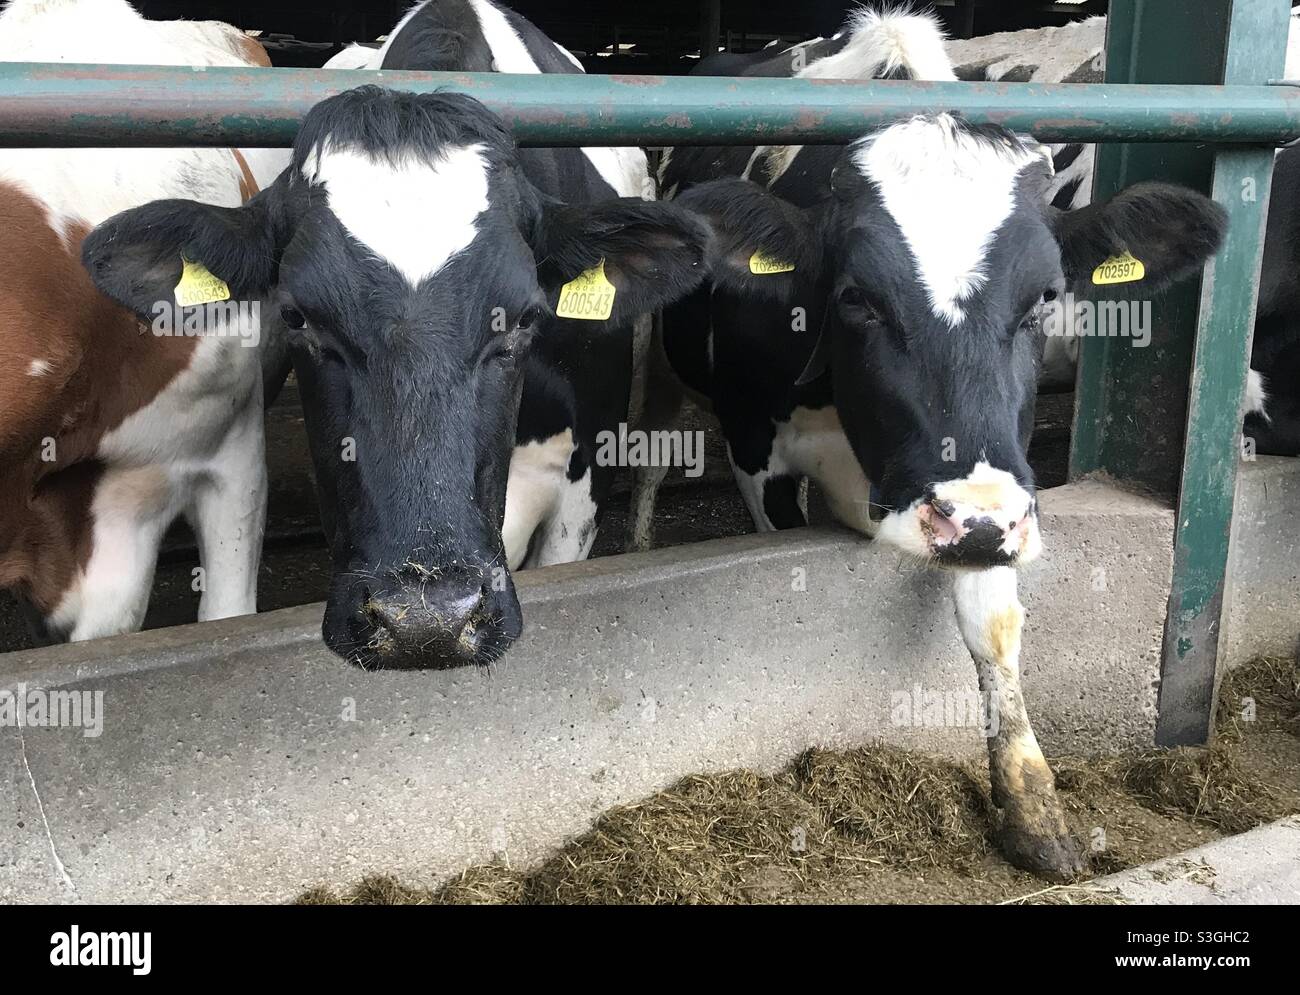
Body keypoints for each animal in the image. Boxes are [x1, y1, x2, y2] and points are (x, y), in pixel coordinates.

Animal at [654, 8, 1229, 878]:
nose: (973, 520)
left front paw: (1035, 810)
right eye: (856, 298)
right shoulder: (754, 445)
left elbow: (994, 624)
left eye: (1045, 298)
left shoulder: (993, 490)